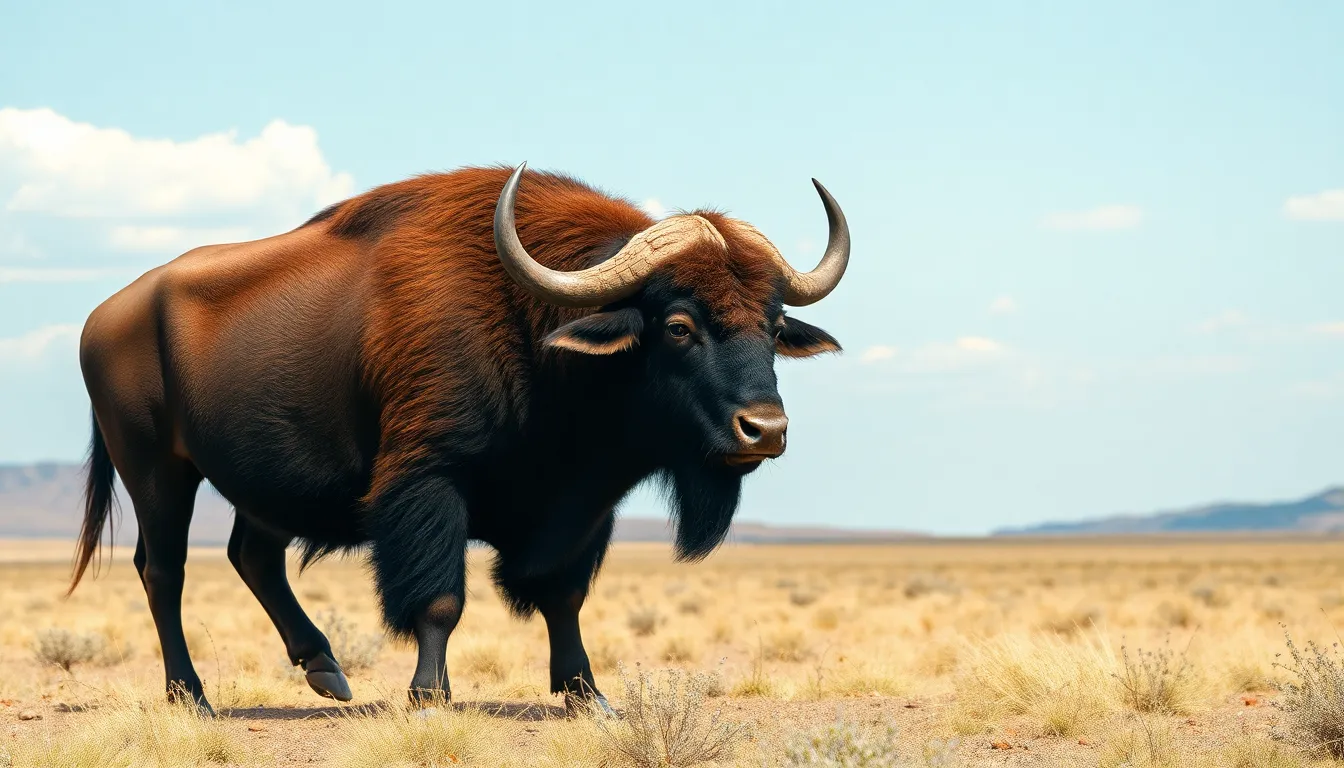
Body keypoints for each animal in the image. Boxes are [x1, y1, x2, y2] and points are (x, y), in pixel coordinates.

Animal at [68, 163, 850, 715]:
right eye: (680, 325)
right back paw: (192, 696)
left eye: (773, 326)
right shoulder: (430, 483)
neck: (536, 326)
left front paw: (586, 694)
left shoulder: (580, 509)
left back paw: (327, 673)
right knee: (163, 572)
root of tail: (105, 315)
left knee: (251, 556)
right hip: (158, 474)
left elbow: (563, 597)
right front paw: (428, 695)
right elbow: (441, 598)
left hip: (257, 488)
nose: (765, 429)